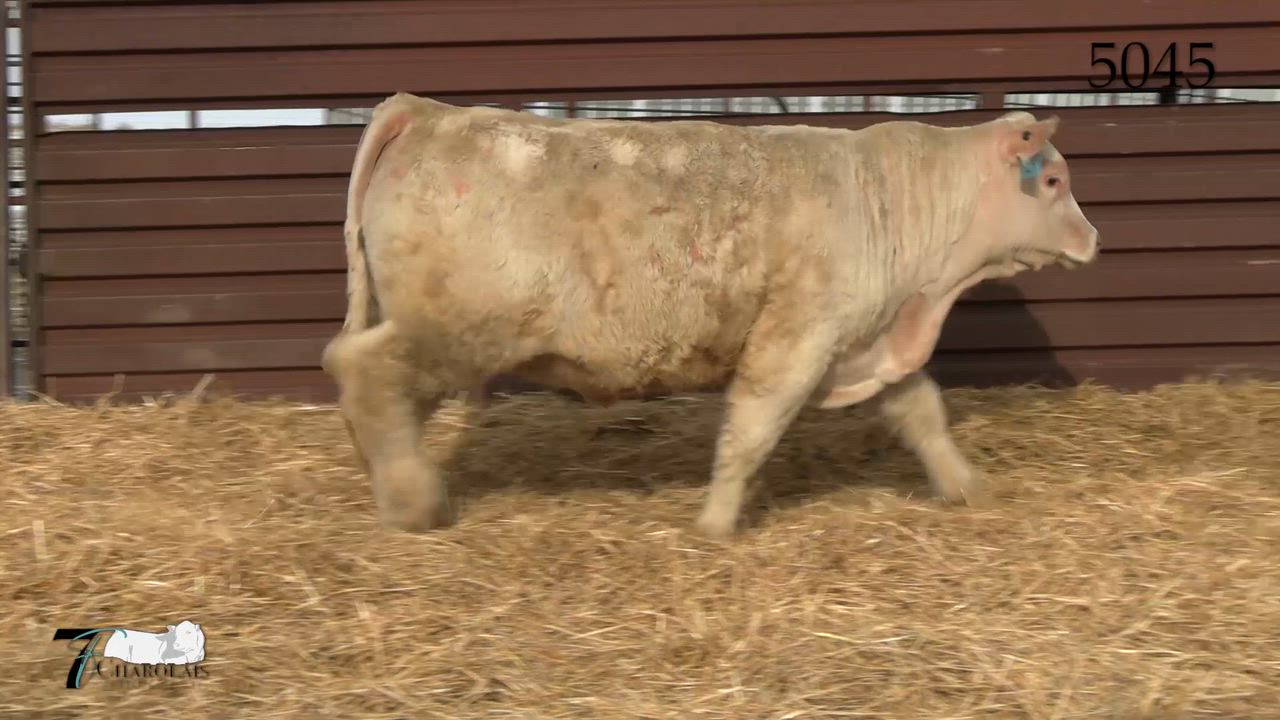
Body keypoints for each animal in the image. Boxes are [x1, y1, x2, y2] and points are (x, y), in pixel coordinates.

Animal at [321, 92, 1100, 537]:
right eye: (1054, 182)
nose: (1093, 239)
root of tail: (427, 111)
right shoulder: (796, 337)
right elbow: (750, 431)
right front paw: (717, 523)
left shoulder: (868, 338)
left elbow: (924, 415)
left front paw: (966, 486)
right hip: (453, 331)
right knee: (363, 371)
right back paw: (415, 501)